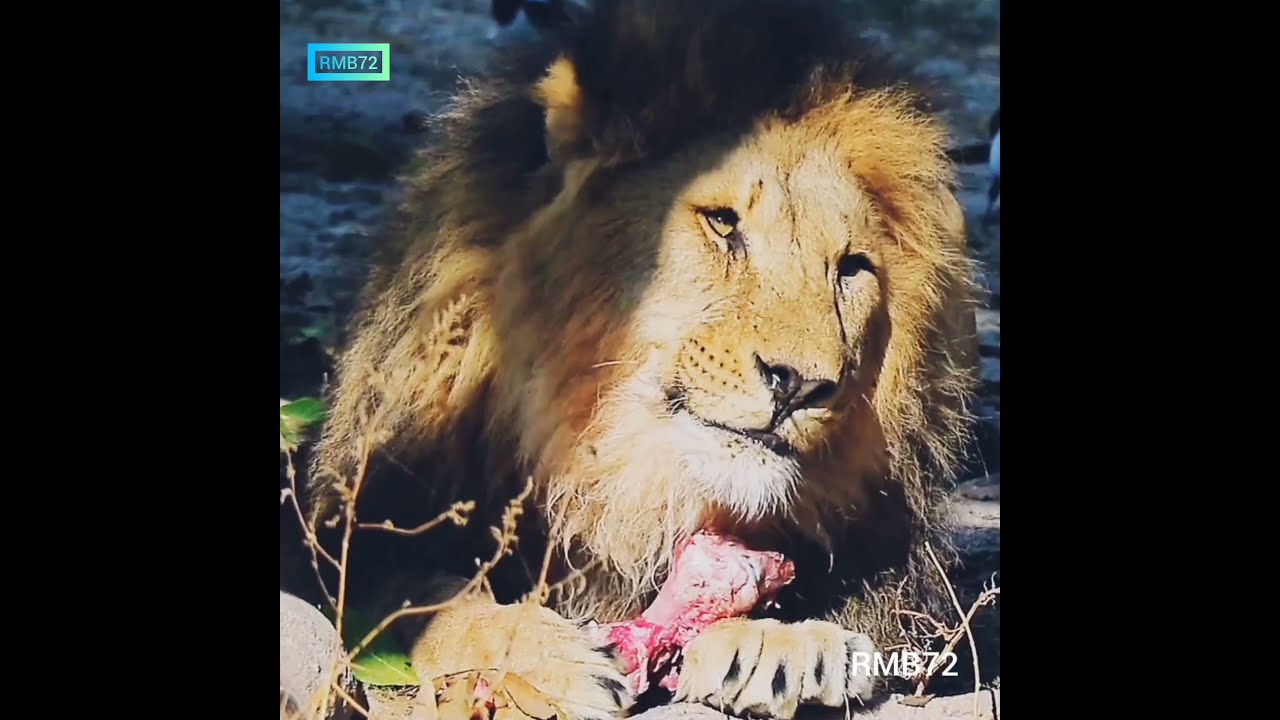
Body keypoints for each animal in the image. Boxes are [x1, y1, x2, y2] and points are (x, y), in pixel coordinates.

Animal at [302, 1, 982, 718]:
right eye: (722, 223)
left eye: (851, 268)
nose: (800, 384)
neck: (632, 484)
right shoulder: (358, 526)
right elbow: (432, 599)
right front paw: (548, 657)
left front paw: (781, 647)